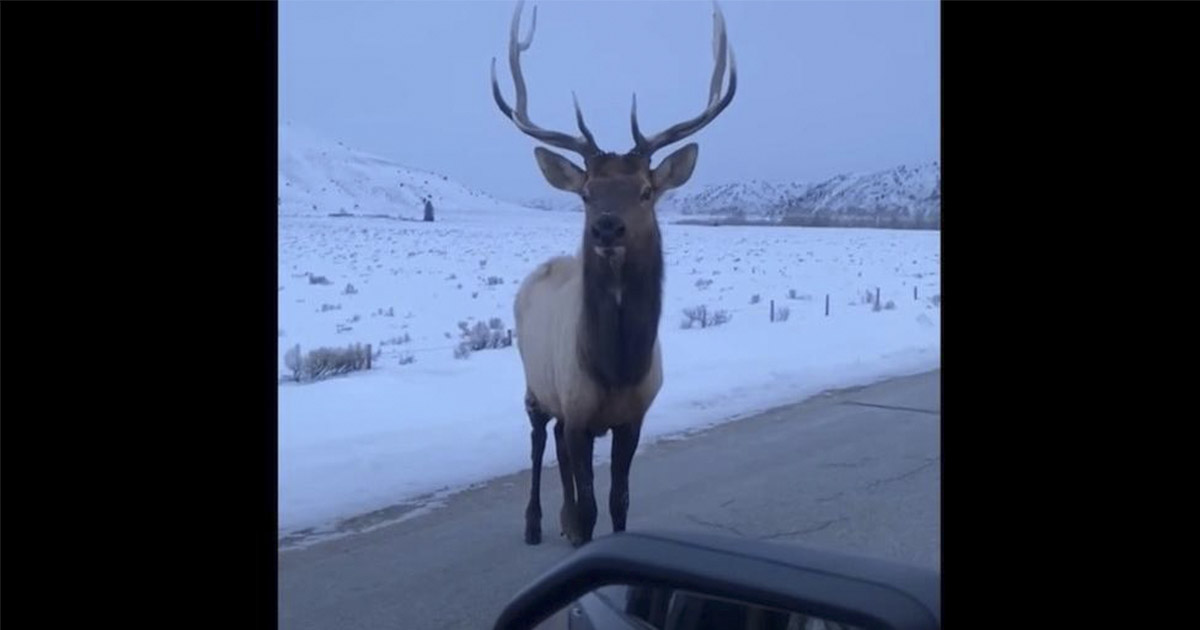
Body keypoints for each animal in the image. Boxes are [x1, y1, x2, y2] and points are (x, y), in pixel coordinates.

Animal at [491, 0, 737, 547]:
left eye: (646, 190)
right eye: (586, 193)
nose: (607, 227)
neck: (616, 366)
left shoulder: (633, 417)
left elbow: (618, 501)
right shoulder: (579, 410)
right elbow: (589, 508)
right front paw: (576, 529)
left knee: (556, 443)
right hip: (534, 382)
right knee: (538, 440)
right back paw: (535, 523)